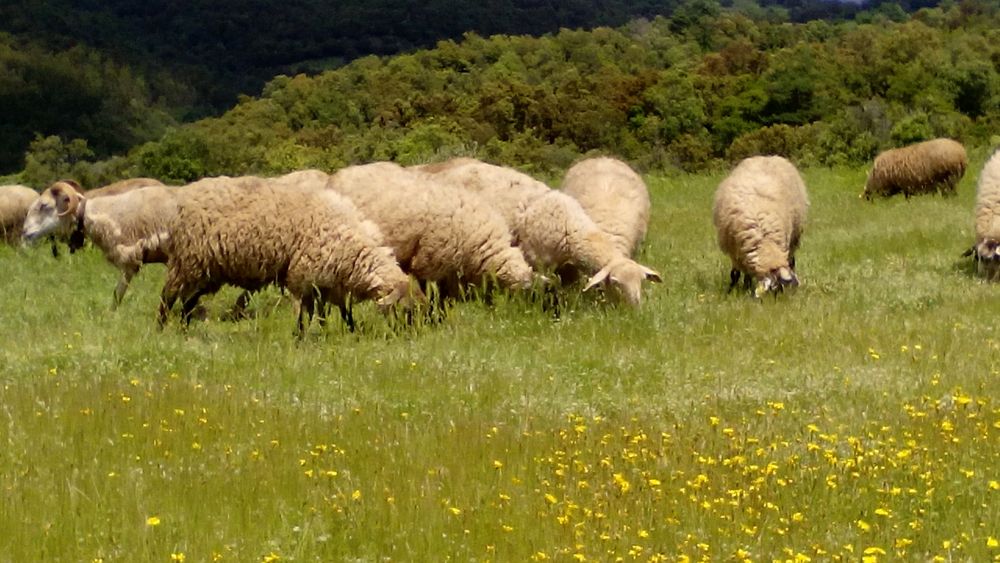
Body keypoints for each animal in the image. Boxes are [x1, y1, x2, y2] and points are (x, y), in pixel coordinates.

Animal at [158, 177, 422, 335]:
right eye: (404, 310)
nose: (407, 335)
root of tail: (182, 203)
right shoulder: (300, 277)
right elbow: (303, 313)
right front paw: (300, 337)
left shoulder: (328, 283)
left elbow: (338, 312)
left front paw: (346, 332)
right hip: (189, 260)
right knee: (168, 295)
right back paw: (162, 328)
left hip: (207, 271)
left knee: (188, 300)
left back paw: (184, 329)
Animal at [712, 156, 809, 296]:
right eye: (774, 288)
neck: (764, 238)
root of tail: (768, 156)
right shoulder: (735, 251)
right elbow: (735, 274)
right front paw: (734, 290)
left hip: (794, 237)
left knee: (792, 261)